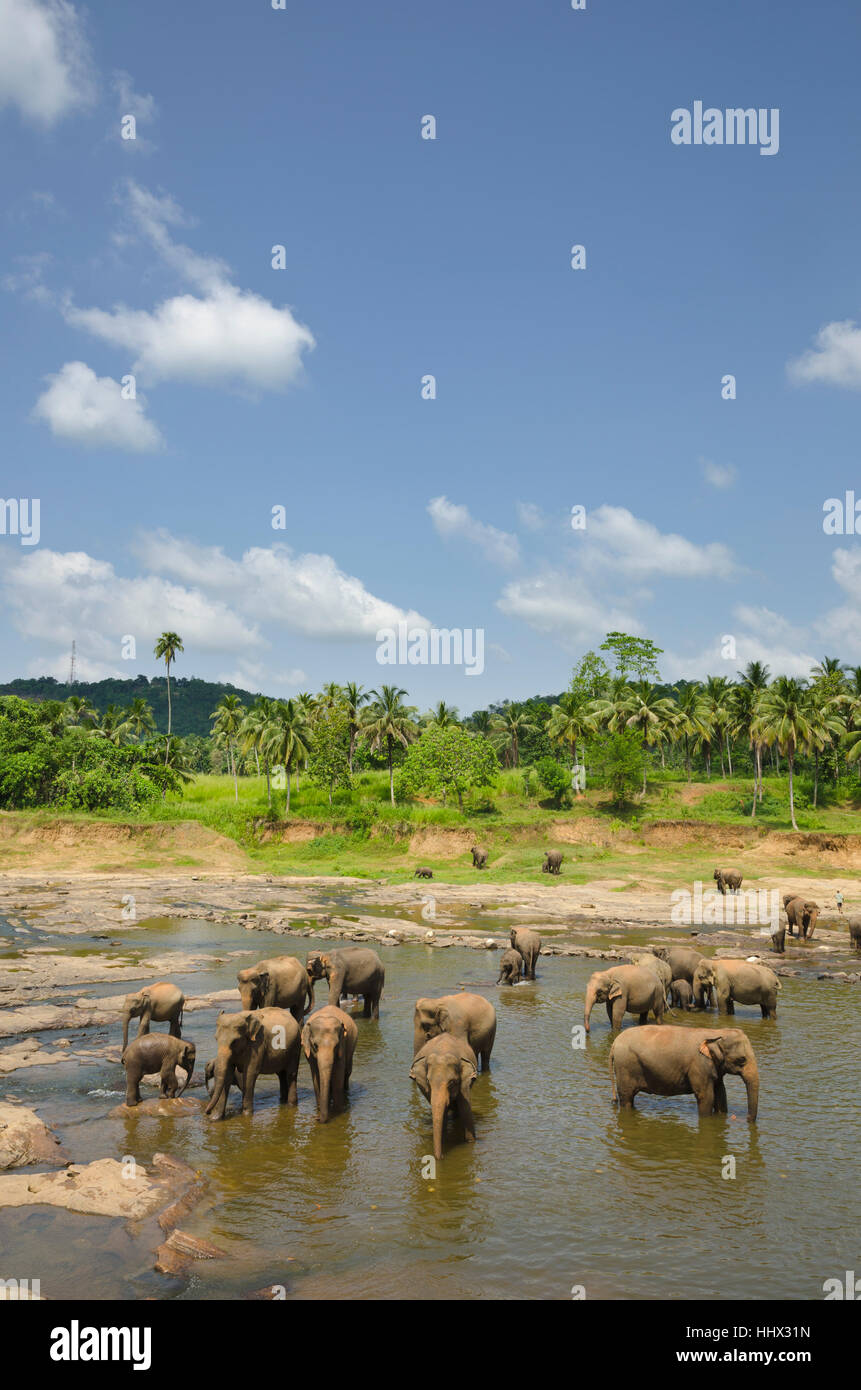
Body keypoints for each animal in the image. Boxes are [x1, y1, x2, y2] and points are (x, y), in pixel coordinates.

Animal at [610, 1024, 759, 1121]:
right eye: (742, 1059)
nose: (745, 1118)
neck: (716, 1032)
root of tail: (614, 1043)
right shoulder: (699, 1065)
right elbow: (706, 1097)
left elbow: (721, 1094)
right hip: (625, 1067)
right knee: (626, 1098)